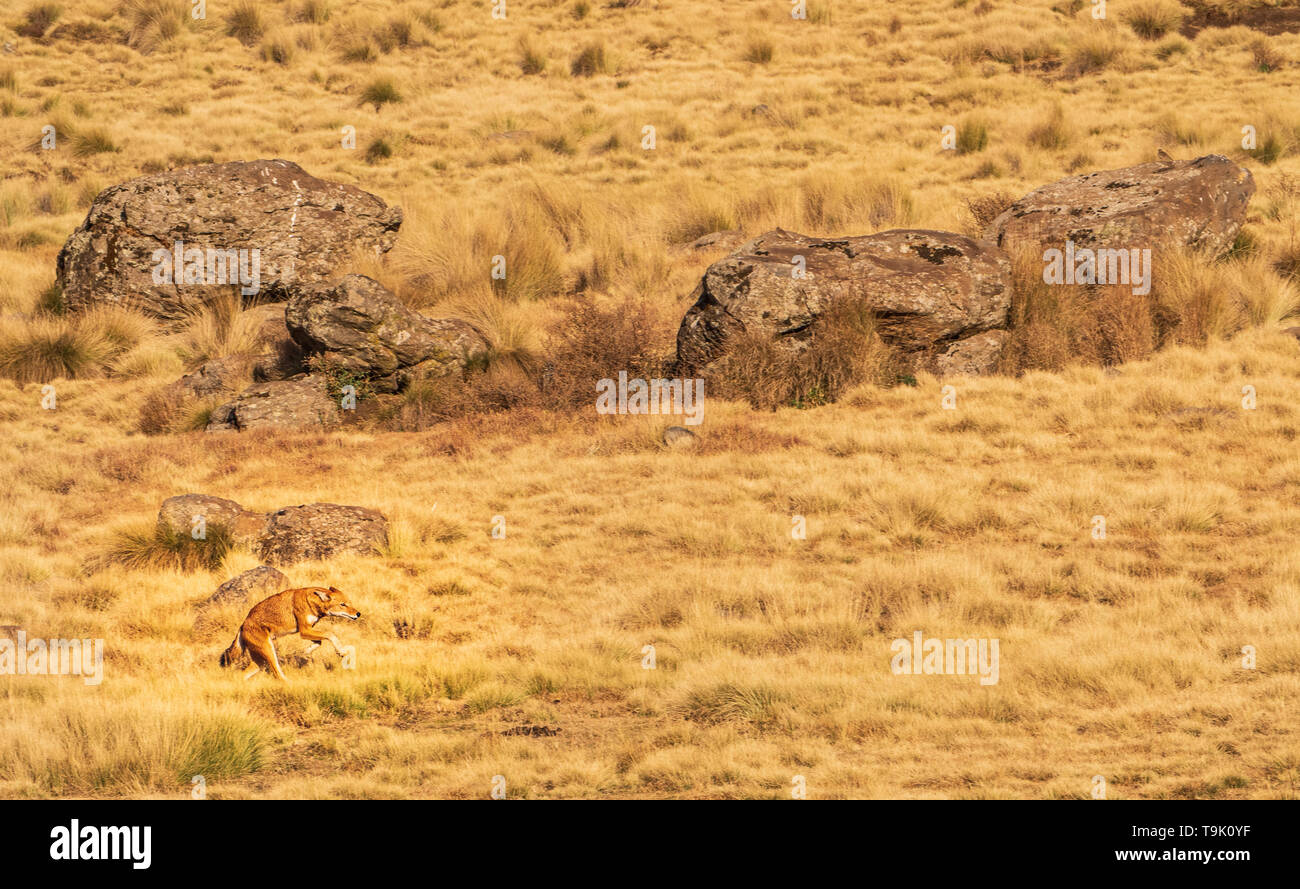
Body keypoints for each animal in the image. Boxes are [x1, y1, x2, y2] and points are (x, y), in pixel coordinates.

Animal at [220, 586, 361, 681]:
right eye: (343, 604)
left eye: (350, 603)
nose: (358, 614)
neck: (311, 601)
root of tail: (243, 624)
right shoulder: (304, 631)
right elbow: (330, 634)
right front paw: (341, 651)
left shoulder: (309, 629)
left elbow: (319, 642)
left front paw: (306, 651)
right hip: (270, 653)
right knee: (278, 675)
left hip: (260, 661)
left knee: (243, 675)